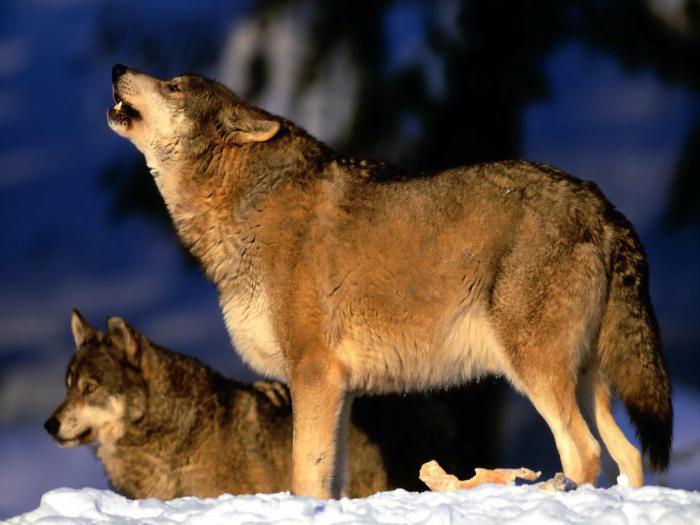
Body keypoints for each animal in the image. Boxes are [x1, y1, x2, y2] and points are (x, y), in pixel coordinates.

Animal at [105, 64, 672, 496]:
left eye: (175, 86)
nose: (117, 68)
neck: (246, 209)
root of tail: (601, 204)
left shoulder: (313, 374)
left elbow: (303, 478)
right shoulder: (340, 389)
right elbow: (331, 480)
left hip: (537, 373)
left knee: (585, 454)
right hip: (586, 380)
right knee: (628, 456)